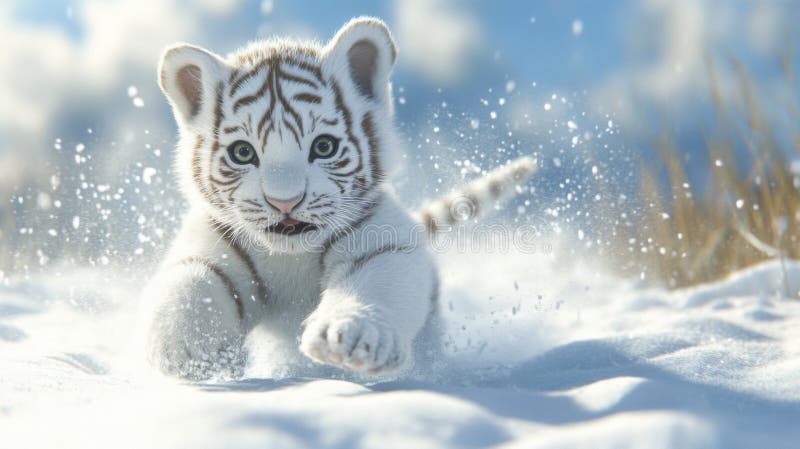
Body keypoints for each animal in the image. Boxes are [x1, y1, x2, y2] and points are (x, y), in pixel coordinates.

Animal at [140, 17, 535, 379]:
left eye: (324, 147)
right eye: (242, 153)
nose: (285, 203)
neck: (290, 258)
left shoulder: (378, 243)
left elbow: (374, 284)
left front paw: (350, 336)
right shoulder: (212, 244)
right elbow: (194, 283)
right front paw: (194, 351)